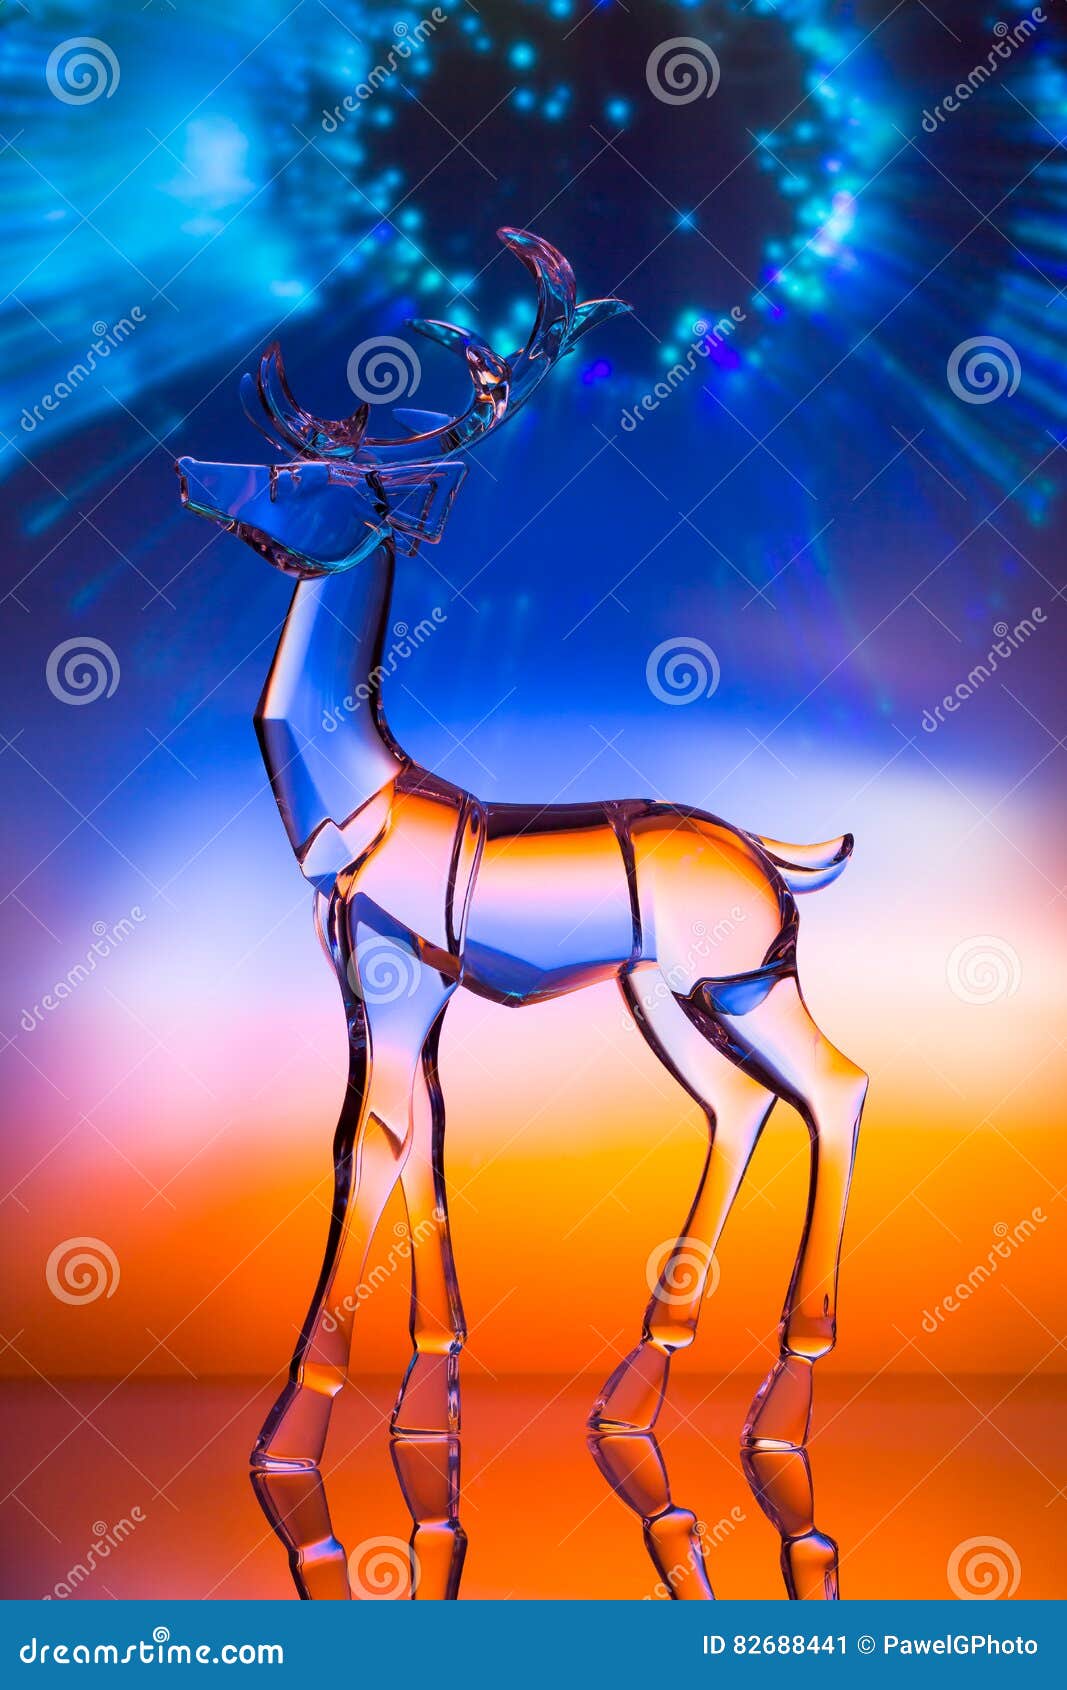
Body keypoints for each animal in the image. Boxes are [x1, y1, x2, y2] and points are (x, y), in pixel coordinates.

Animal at [176, 229, 866, 1598]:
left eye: (298, 472)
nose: (182, 467)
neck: (359, 797)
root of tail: (772, 853)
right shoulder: (394, 1002)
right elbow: (426, 1145)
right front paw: (425, 1417)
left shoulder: (395, 988)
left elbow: (370, 1142)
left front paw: (291, 1433)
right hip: (665, 998)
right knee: (745, 1104)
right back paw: (638, 1392)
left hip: (737, 981)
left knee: (837, 1084)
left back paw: (779, 1402)